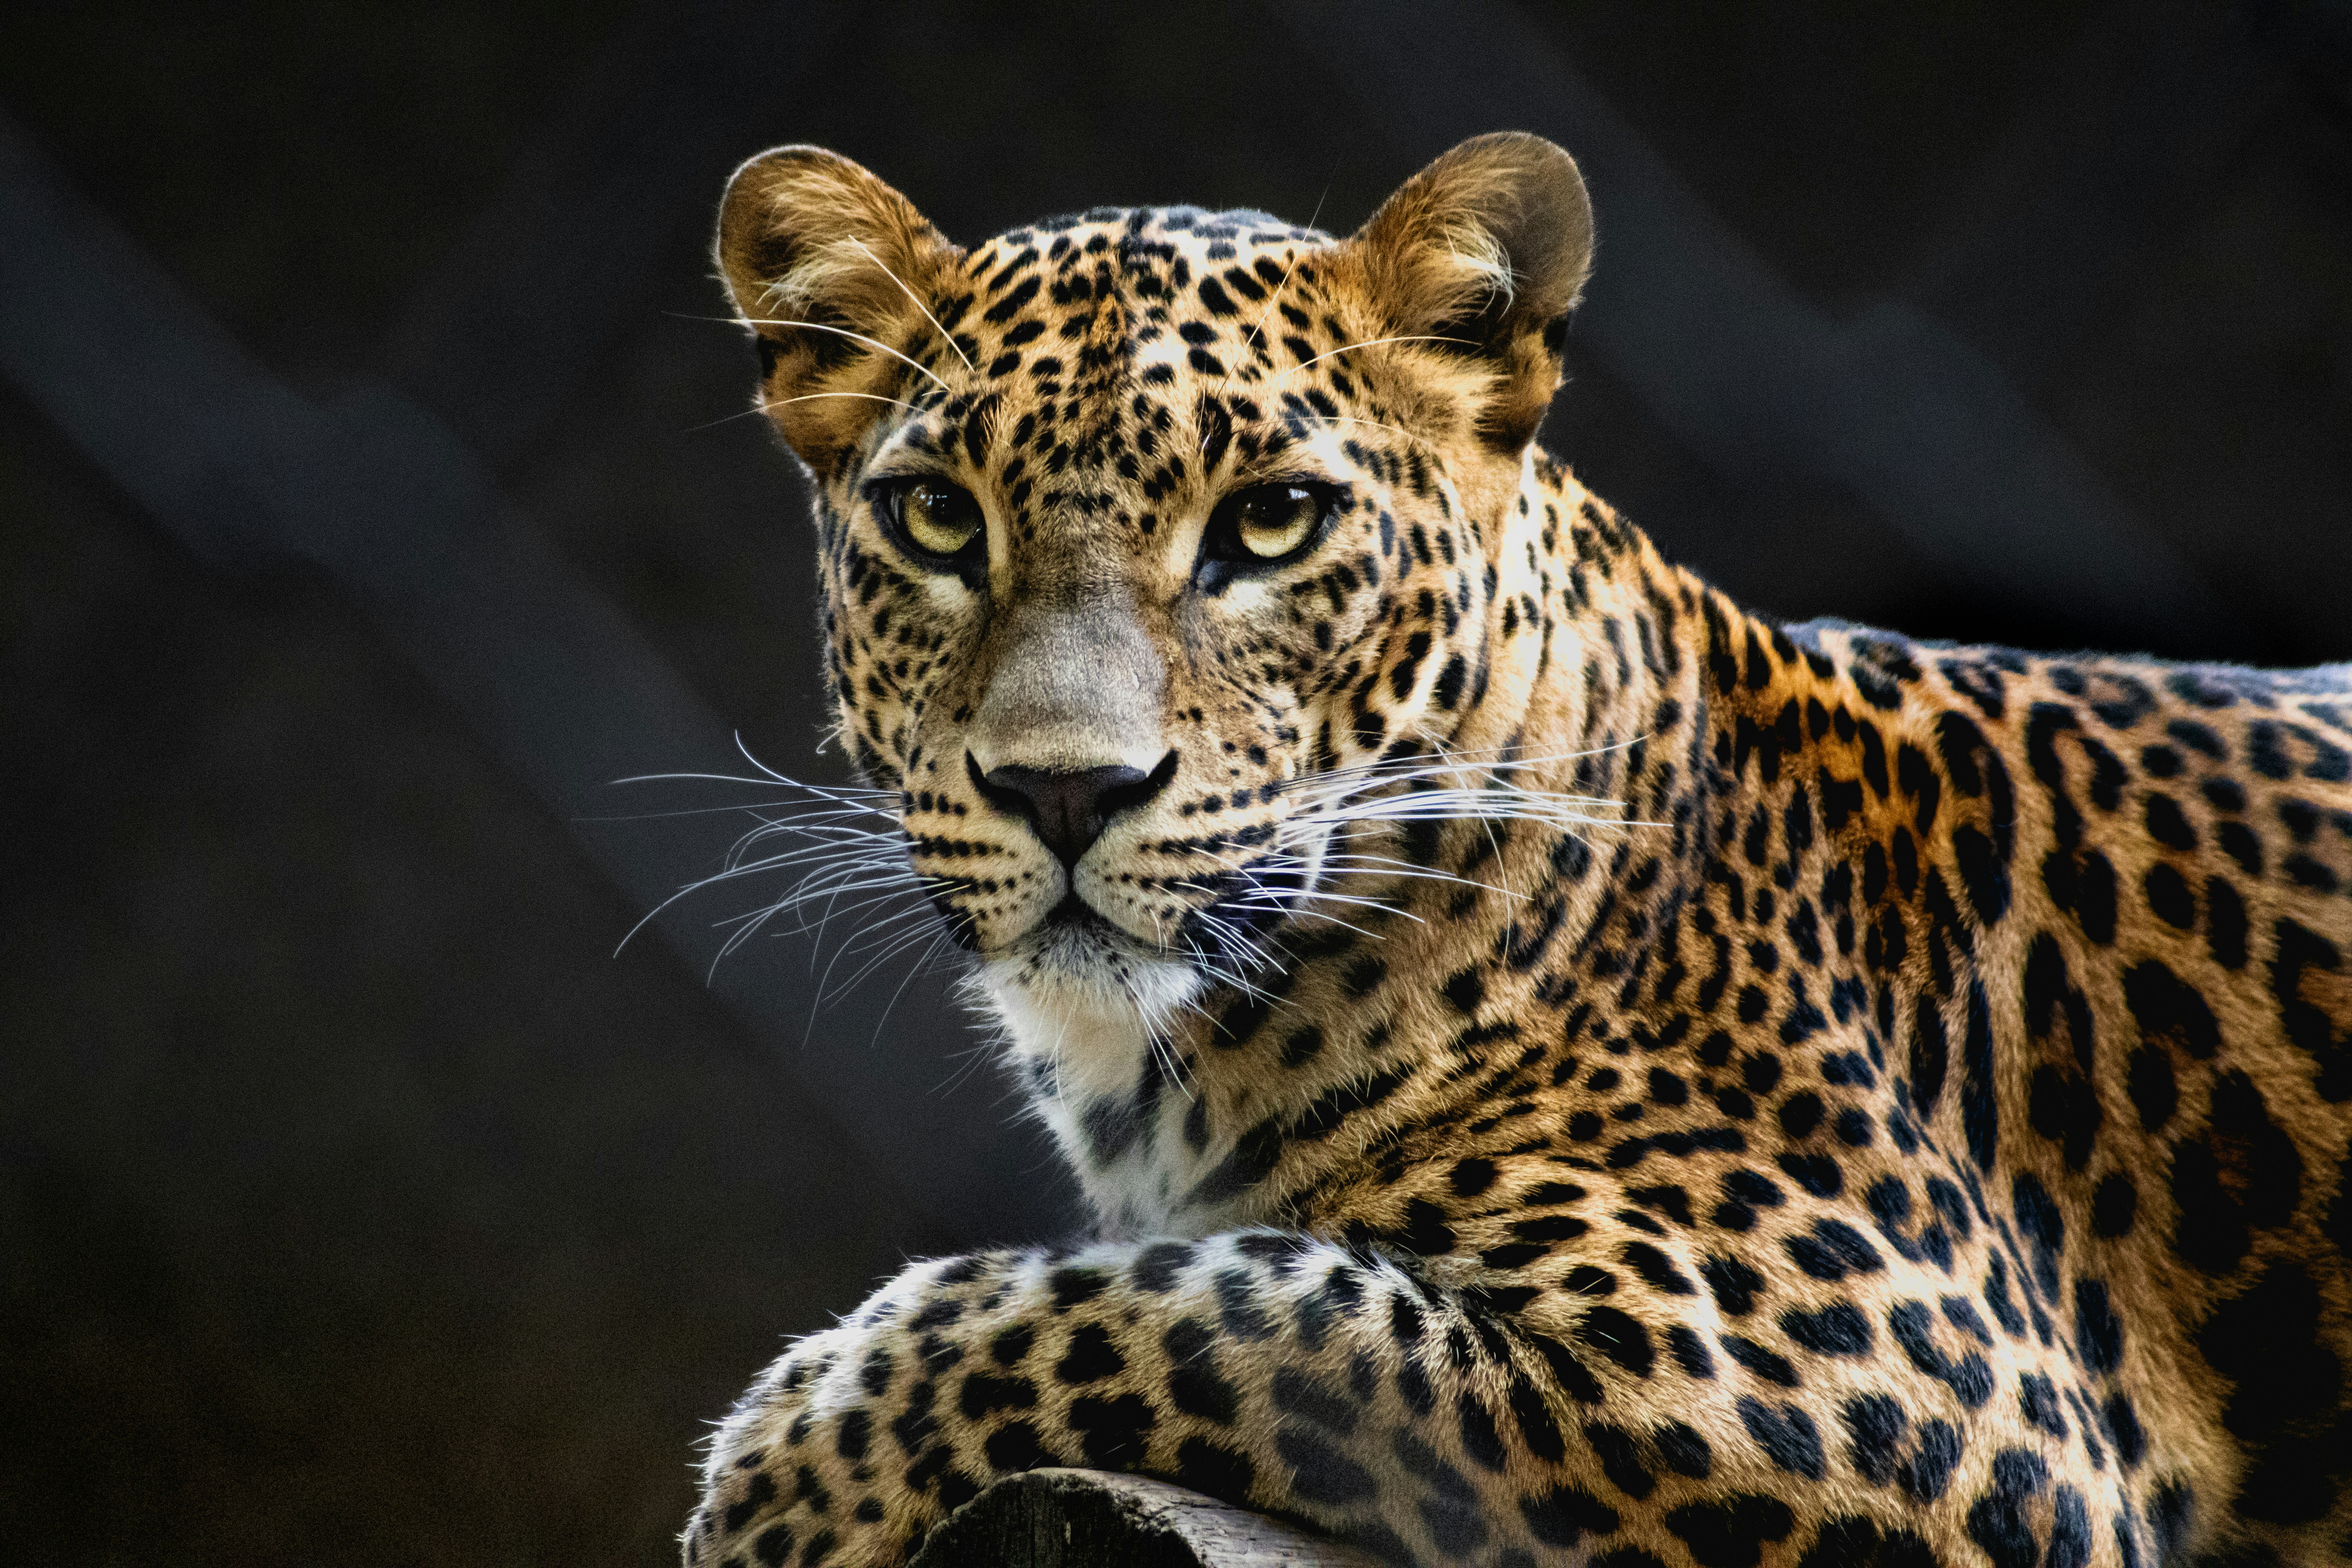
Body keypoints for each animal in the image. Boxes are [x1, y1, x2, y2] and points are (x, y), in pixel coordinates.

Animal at [683, 132, 2352, 1568]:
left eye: (1274, 521)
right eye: (934, 518)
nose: (1069, 790)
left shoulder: (1902, 1397)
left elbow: (1252, 1298)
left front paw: (789, 1465)